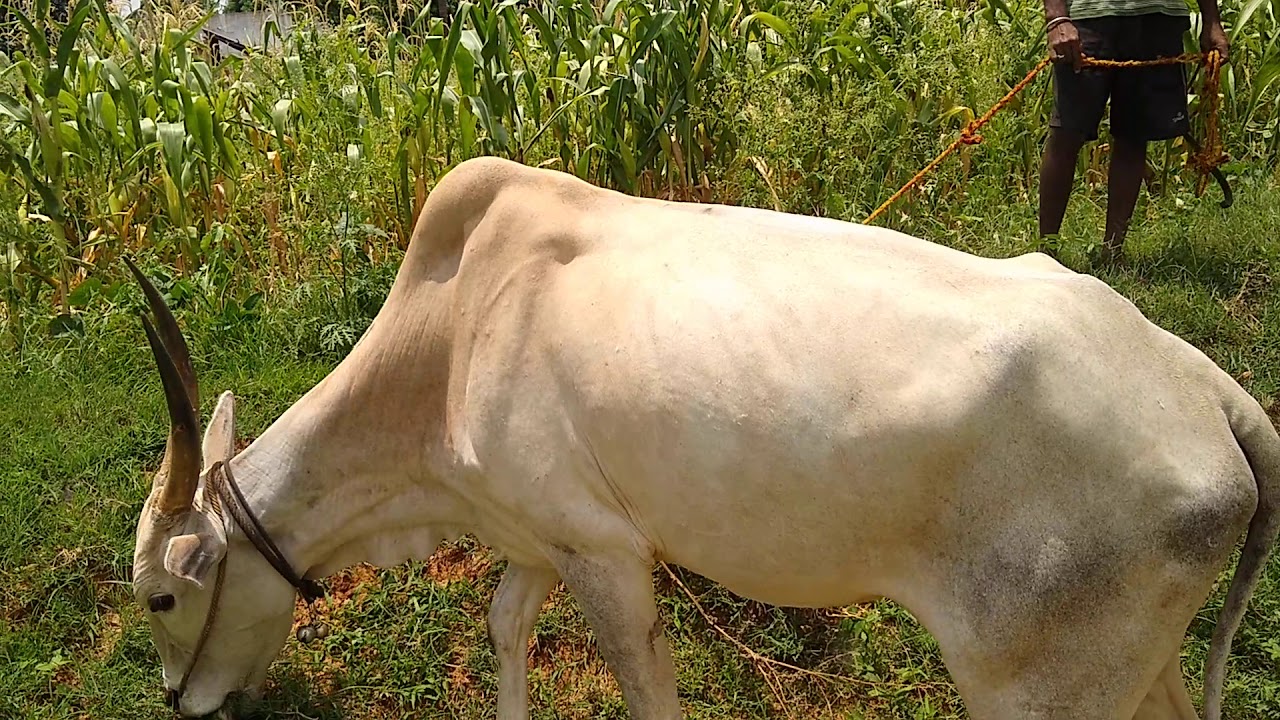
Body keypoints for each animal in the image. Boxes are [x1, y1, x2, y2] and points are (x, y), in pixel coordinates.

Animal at [127, 156, 1279, 719]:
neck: (450, 338)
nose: (183, 701)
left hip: (1035, 688)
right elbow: (503, 629)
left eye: (159, 600)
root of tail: (1205, 393)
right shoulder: (538, 535)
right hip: (1135, 666)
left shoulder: (606, 557)